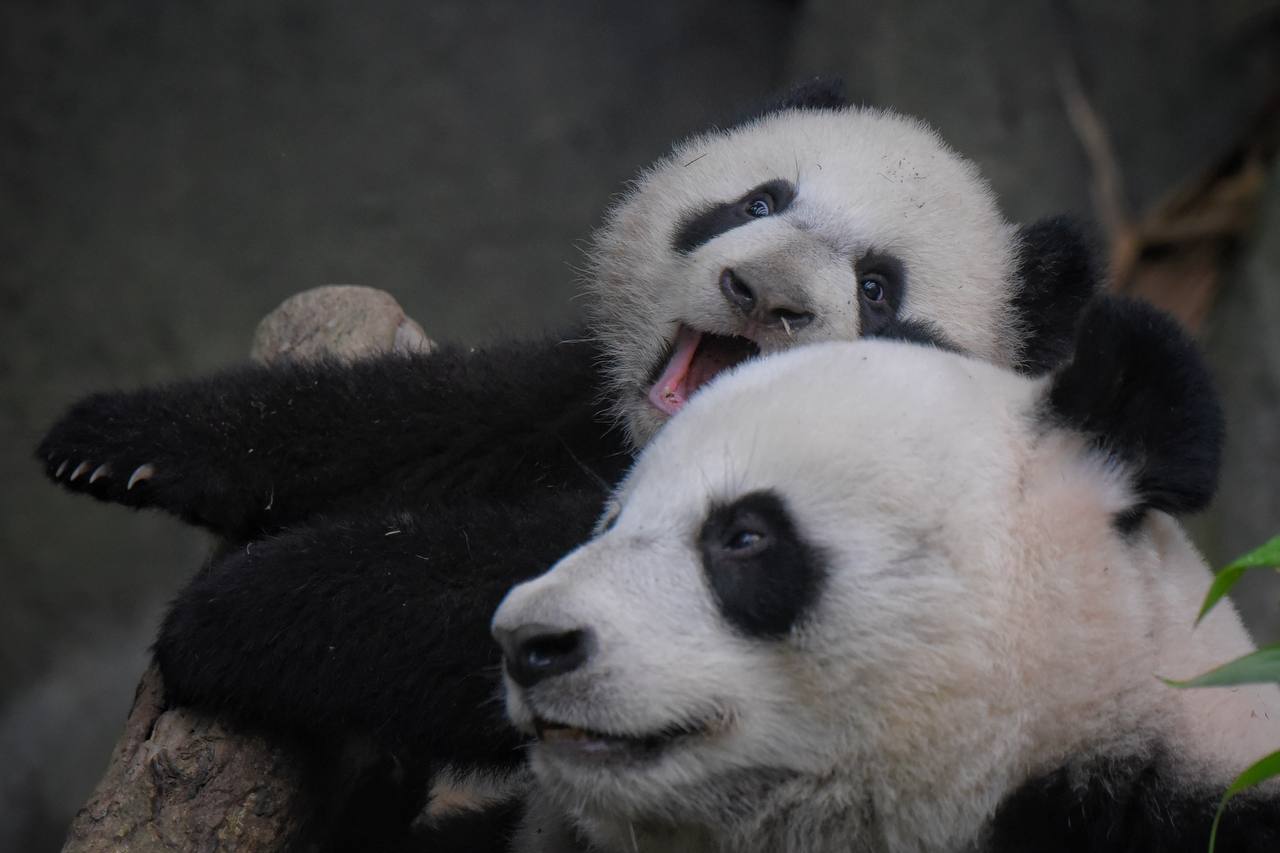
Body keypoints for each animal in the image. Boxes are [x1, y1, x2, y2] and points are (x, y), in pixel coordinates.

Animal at [36, 80, 1099, 845]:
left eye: (878, 288)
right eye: (758, 201)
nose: (761, 294)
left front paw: (237, 609)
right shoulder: (581, 411)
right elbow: (448, 412)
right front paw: (123, 443)